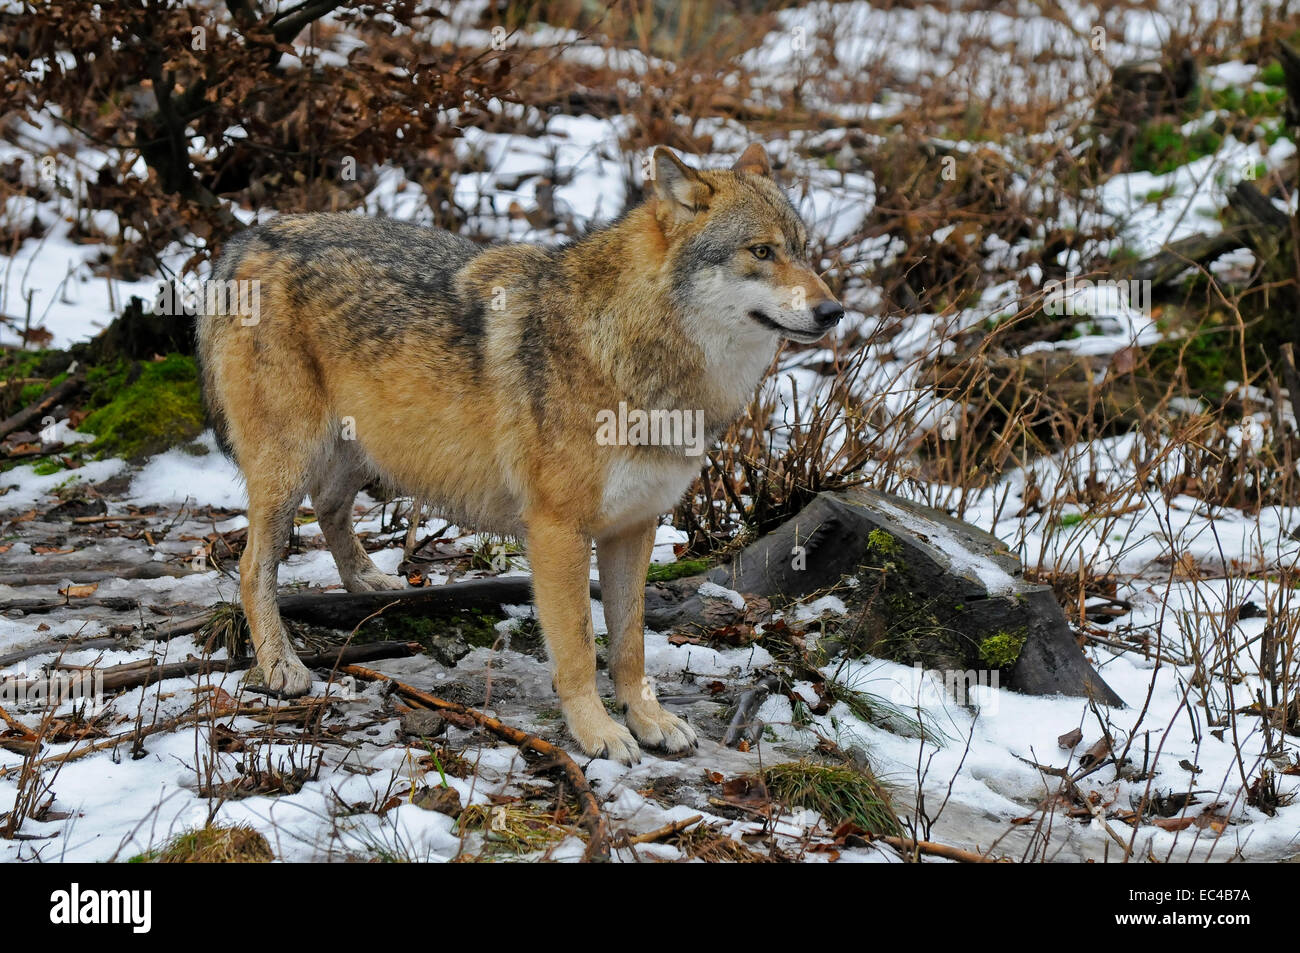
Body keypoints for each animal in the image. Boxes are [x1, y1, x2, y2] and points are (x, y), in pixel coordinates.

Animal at [197, 143, 842, 764]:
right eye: (761, 251)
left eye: (804, 252)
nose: (834, 311)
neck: (631, 349)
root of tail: (253, 236)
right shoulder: (558, 530)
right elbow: (579, 648)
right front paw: (598, 733)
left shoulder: (634, 527)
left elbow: (630, 647)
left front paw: (649, 720)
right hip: (290, 467)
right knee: (253, 566)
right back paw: (281, 665)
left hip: (364, 449)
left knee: (330, 510)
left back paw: (367, 581)